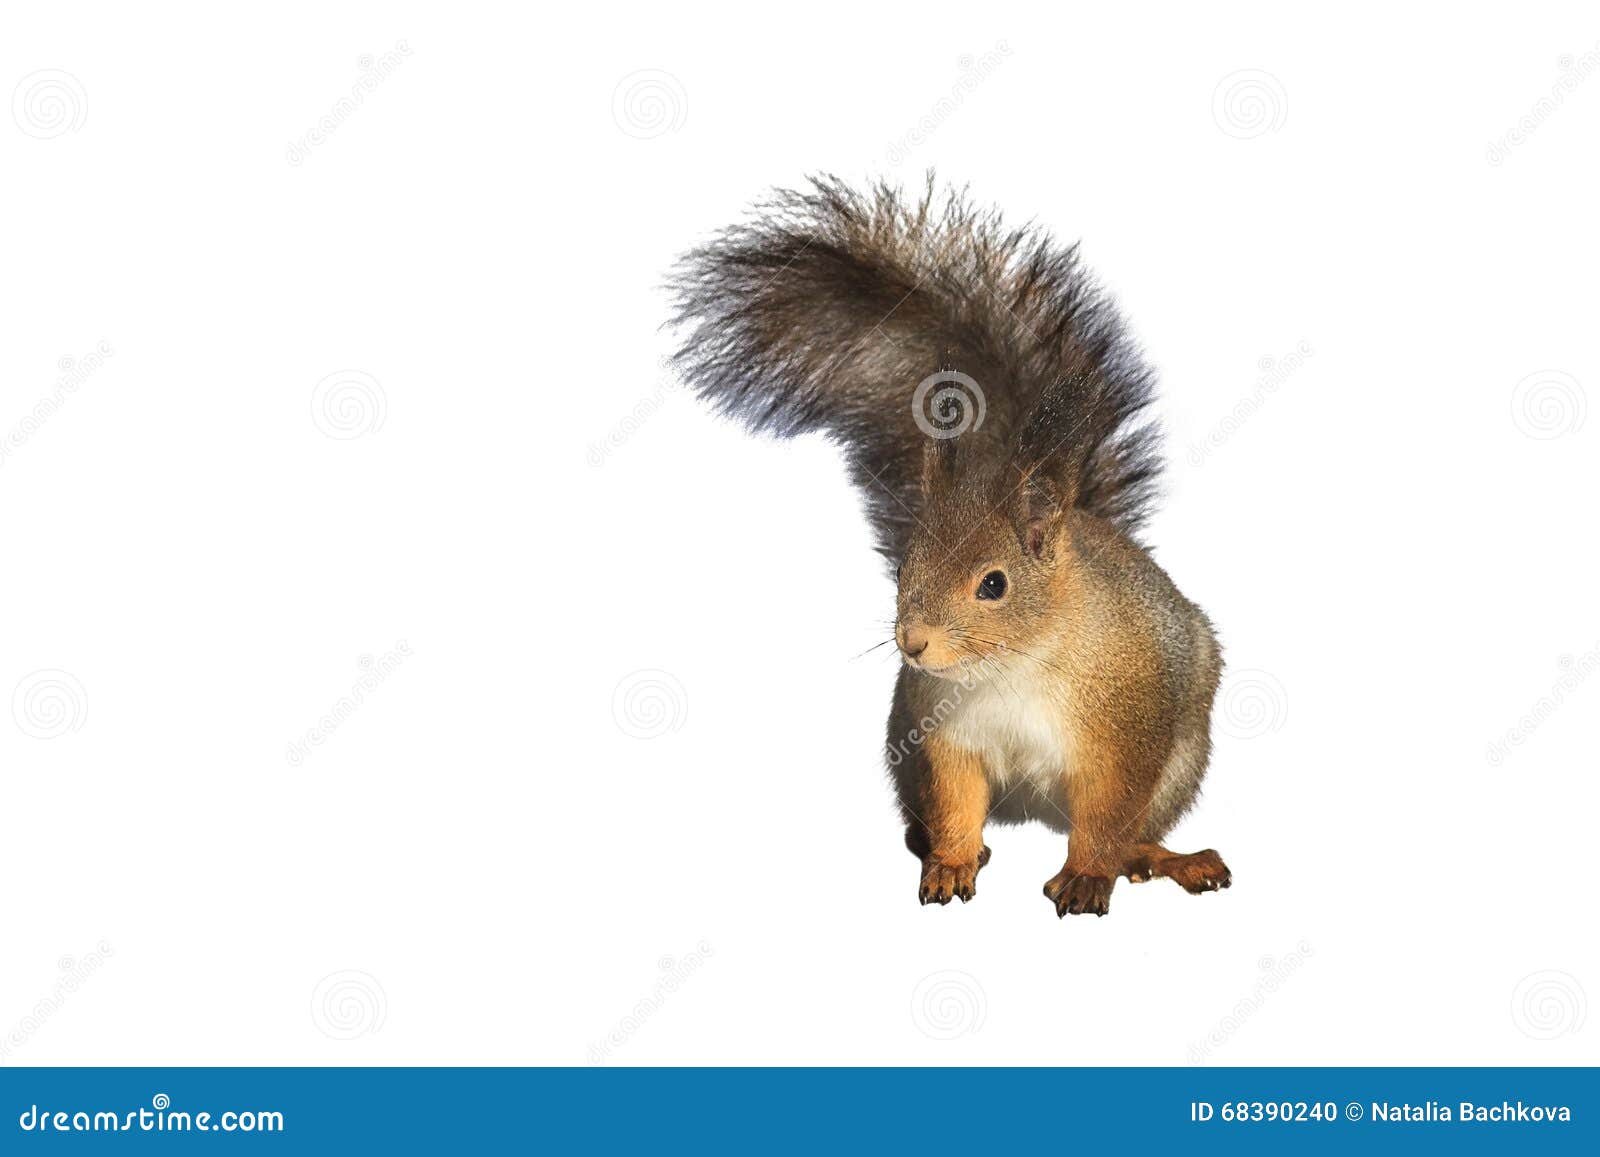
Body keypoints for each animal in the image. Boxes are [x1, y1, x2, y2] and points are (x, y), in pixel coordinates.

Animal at [668, 175, 1230, 918]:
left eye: (994, 584)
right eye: (905, 567)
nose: (913, 643)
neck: (1016, 664)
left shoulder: (1124, 729)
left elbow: (1108, 816)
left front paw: (1086, 876)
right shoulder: (943, 734)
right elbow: (958, 802)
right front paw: (952, 864)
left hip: (1182, 762)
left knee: (1137, 832)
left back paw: (1168, 859)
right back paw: (934, 845)